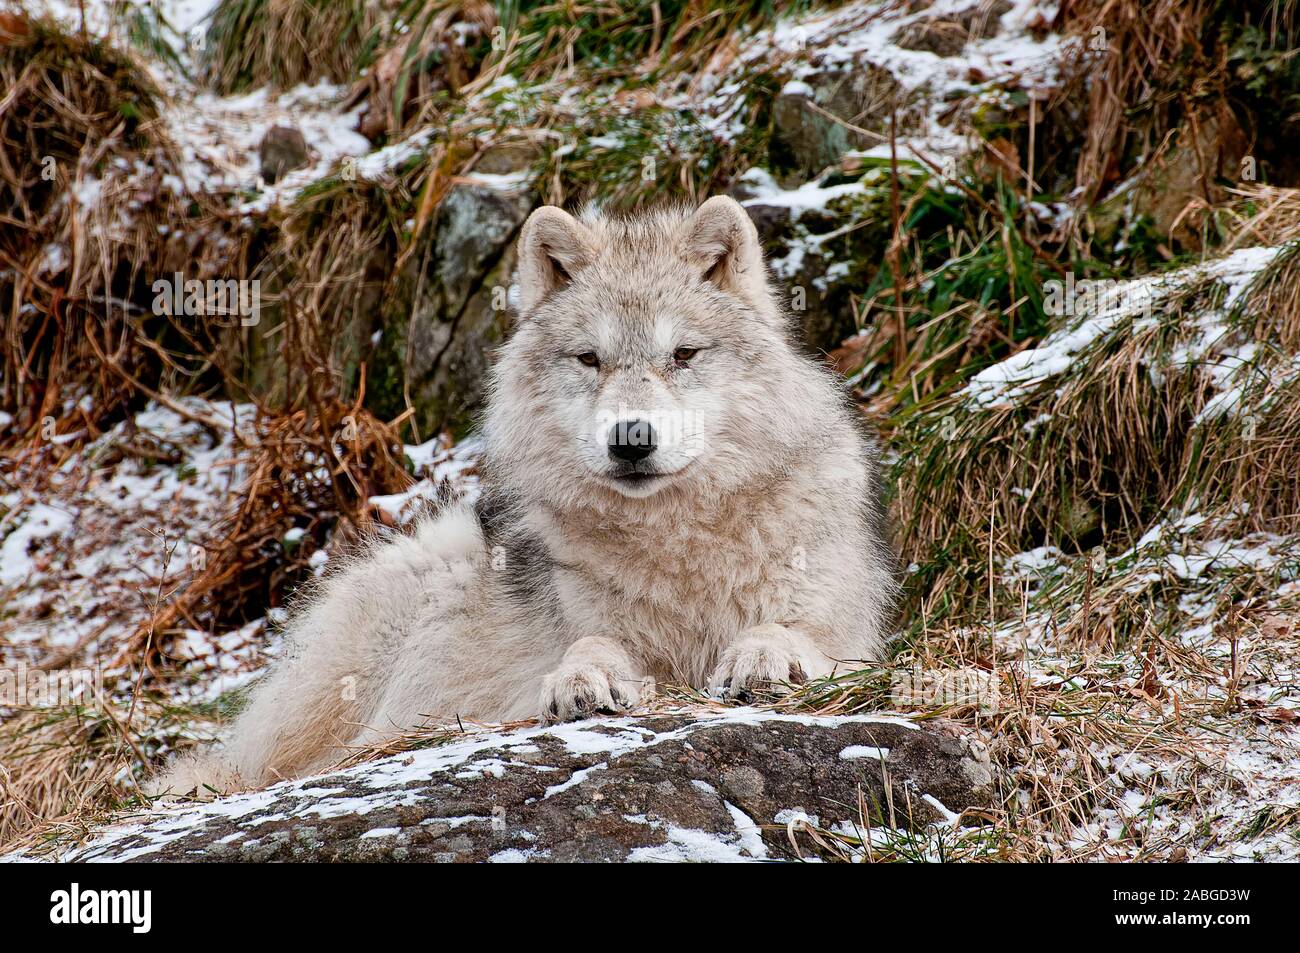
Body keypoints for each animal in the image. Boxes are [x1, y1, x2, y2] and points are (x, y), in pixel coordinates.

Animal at [157, 196, 898, 795]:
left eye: (683, 355)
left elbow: (787, 629)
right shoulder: (591, 629)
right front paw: (580, 681)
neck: (680, 542)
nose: (631, 439)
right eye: (590, 359)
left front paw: (763, 657)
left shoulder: (851, 639)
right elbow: (590, 645)